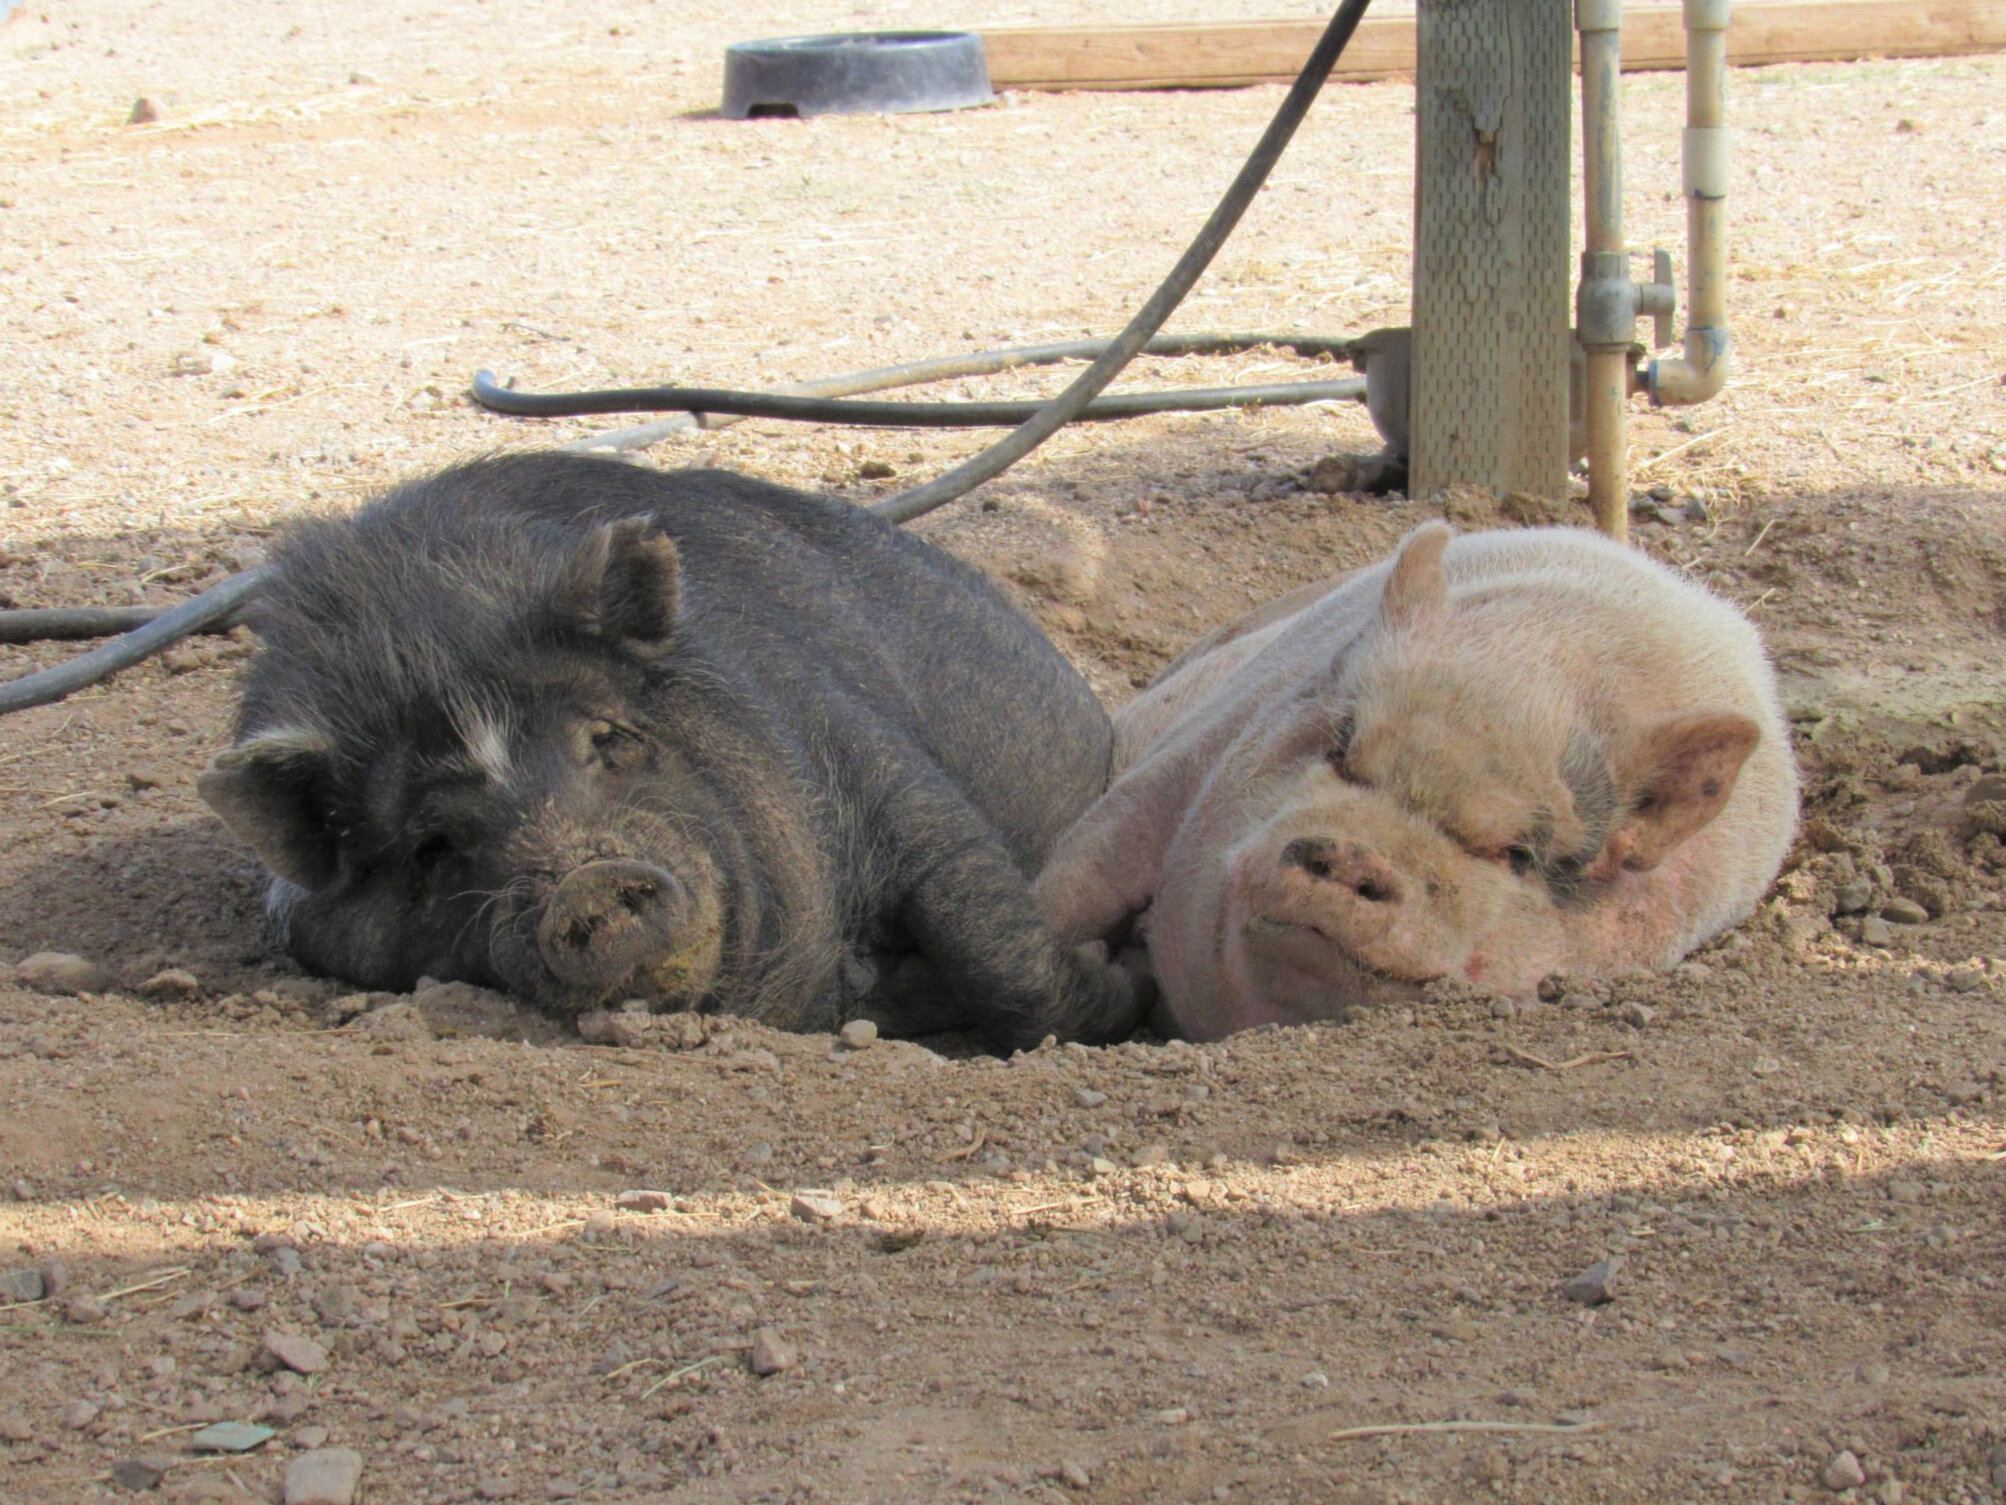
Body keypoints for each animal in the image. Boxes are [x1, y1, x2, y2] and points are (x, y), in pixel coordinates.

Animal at [198, 452, 1140, 1049]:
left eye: (608, 734)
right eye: (429, 846)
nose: (586, 878)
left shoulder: (871, 755)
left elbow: (986, 926)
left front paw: (1123, 983)